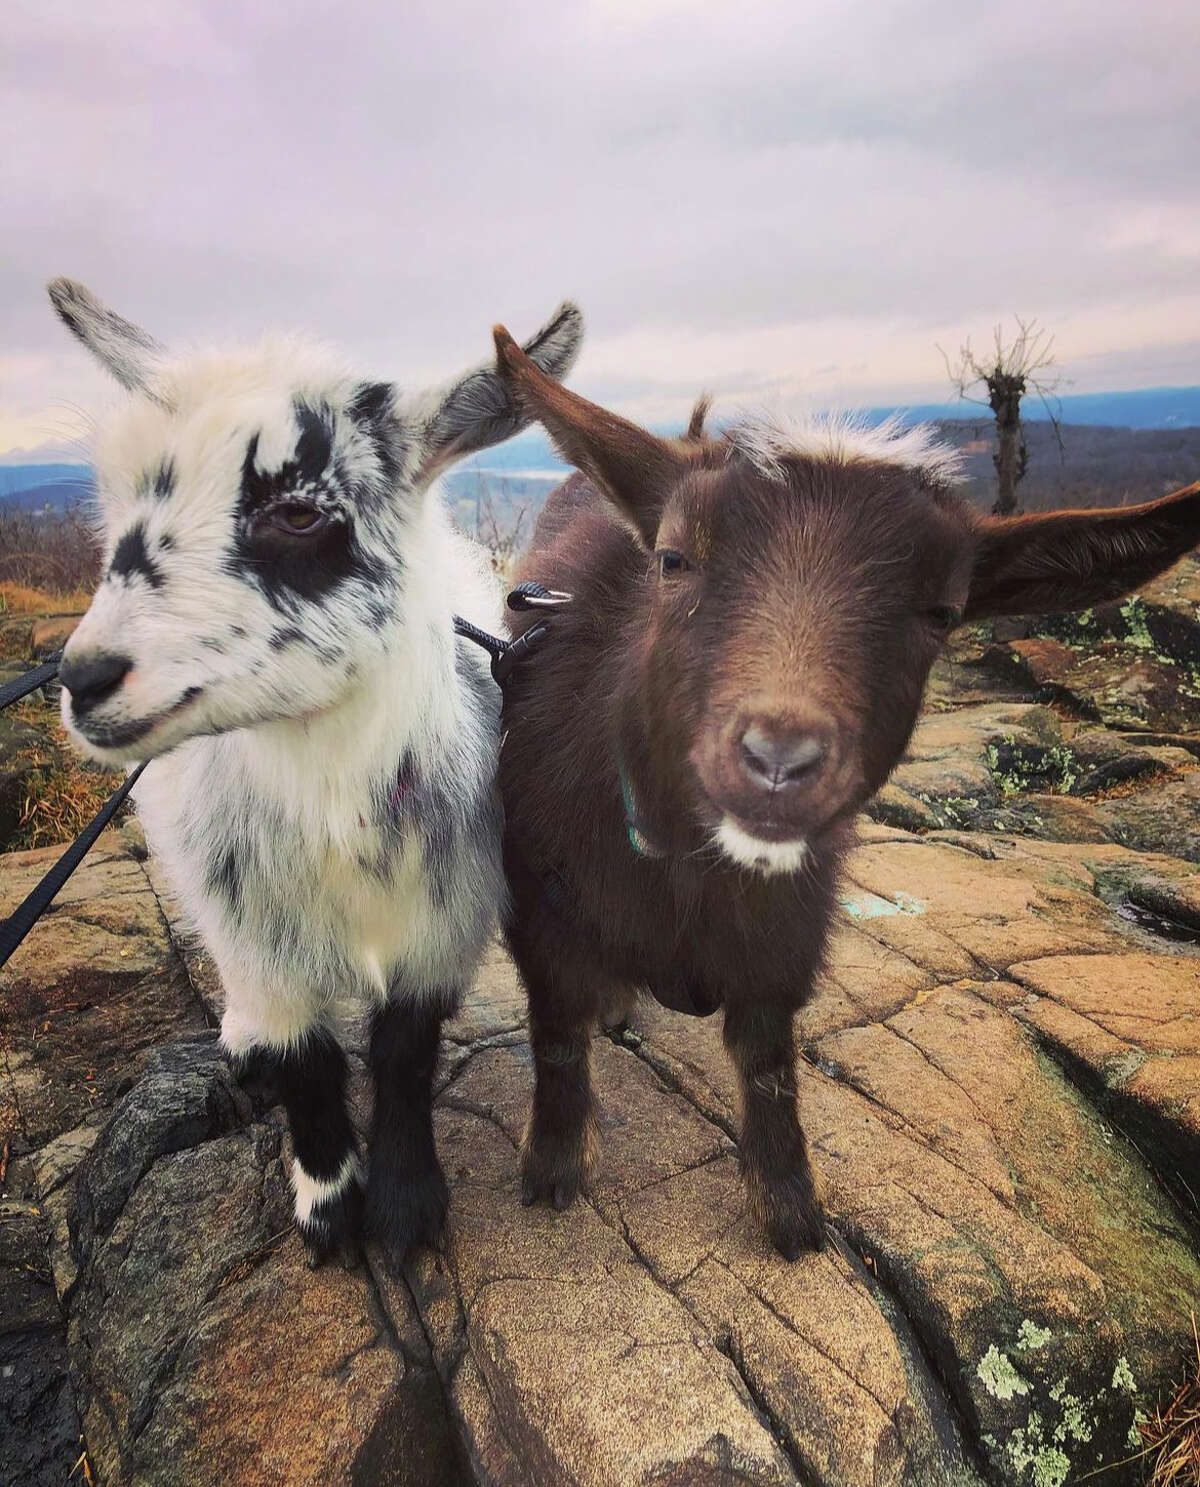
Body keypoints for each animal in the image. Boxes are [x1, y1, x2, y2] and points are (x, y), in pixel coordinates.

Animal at [49, 280, 583, 1267]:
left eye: (298, 512)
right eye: (113, 506)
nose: (86, 679)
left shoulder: (442, 913)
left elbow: (404, 1050)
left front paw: (405, 1211)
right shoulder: (254, 925)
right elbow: (308, 1059)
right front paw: (329, 1205)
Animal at [491, 325, 1200, 1259]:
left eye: (943, 610)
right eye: (674, 558)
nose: (778, 759)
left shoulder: (789, 928)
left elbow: (768, 1060)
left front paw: (790, 1212)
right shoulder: (538, 902)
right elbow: (557, 1032)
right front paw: (555, 1170)